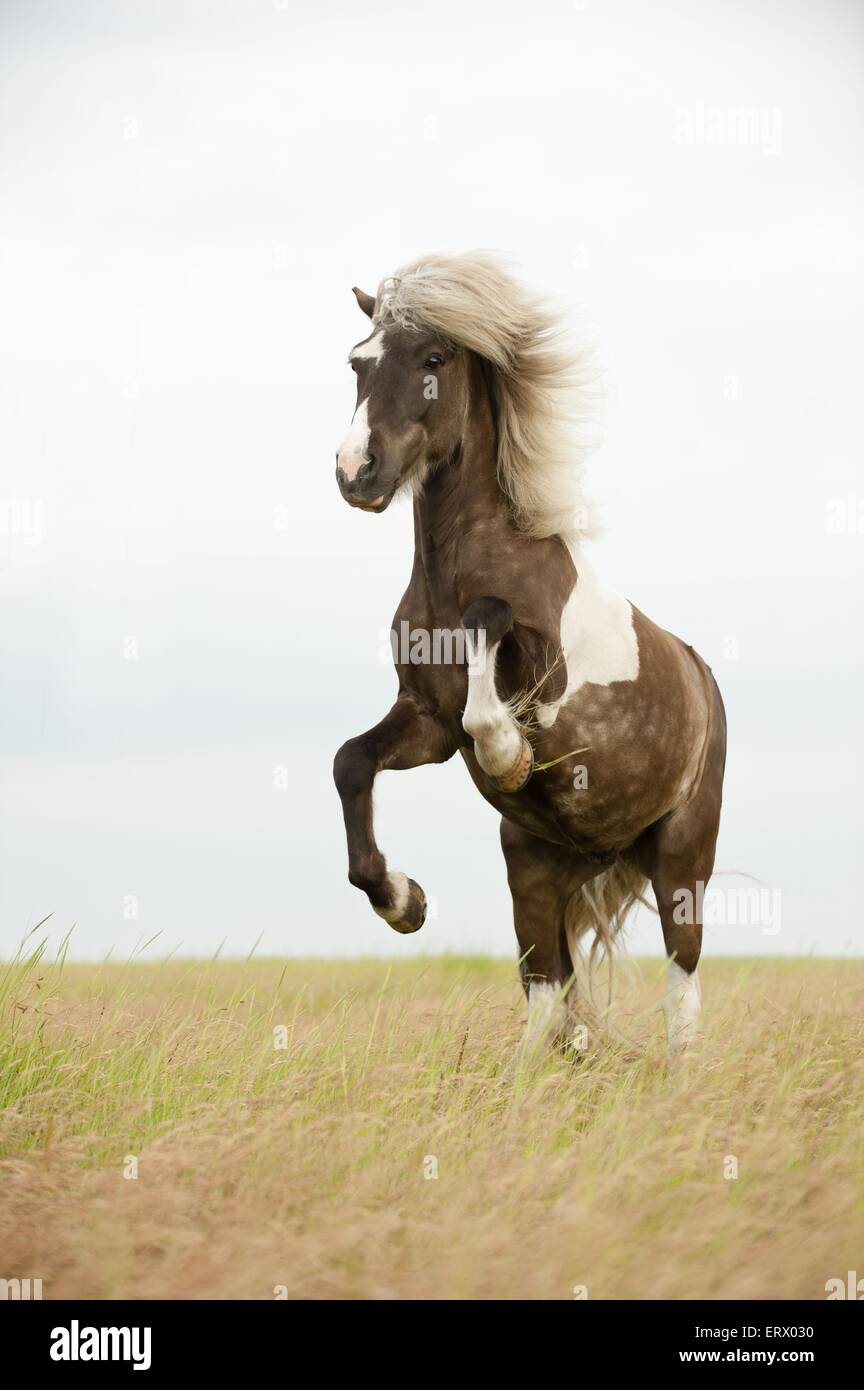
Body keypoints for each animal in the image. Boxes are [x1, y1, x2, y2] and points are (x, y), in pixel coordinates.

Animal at [333, 253, 726, 1058]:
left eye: (433, 359)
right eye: (357, 363)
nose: (358, 472)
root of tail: (703, 676)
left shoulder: (543, 682)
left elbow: (491, 637)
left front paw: (511, 757)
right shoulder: (428, 724)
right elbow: (351, 761)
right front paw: (404, 902)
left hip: (683, 855)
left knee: (682, 988)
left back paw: (678, 1074)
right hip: (535, 868)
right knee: (549, 995)